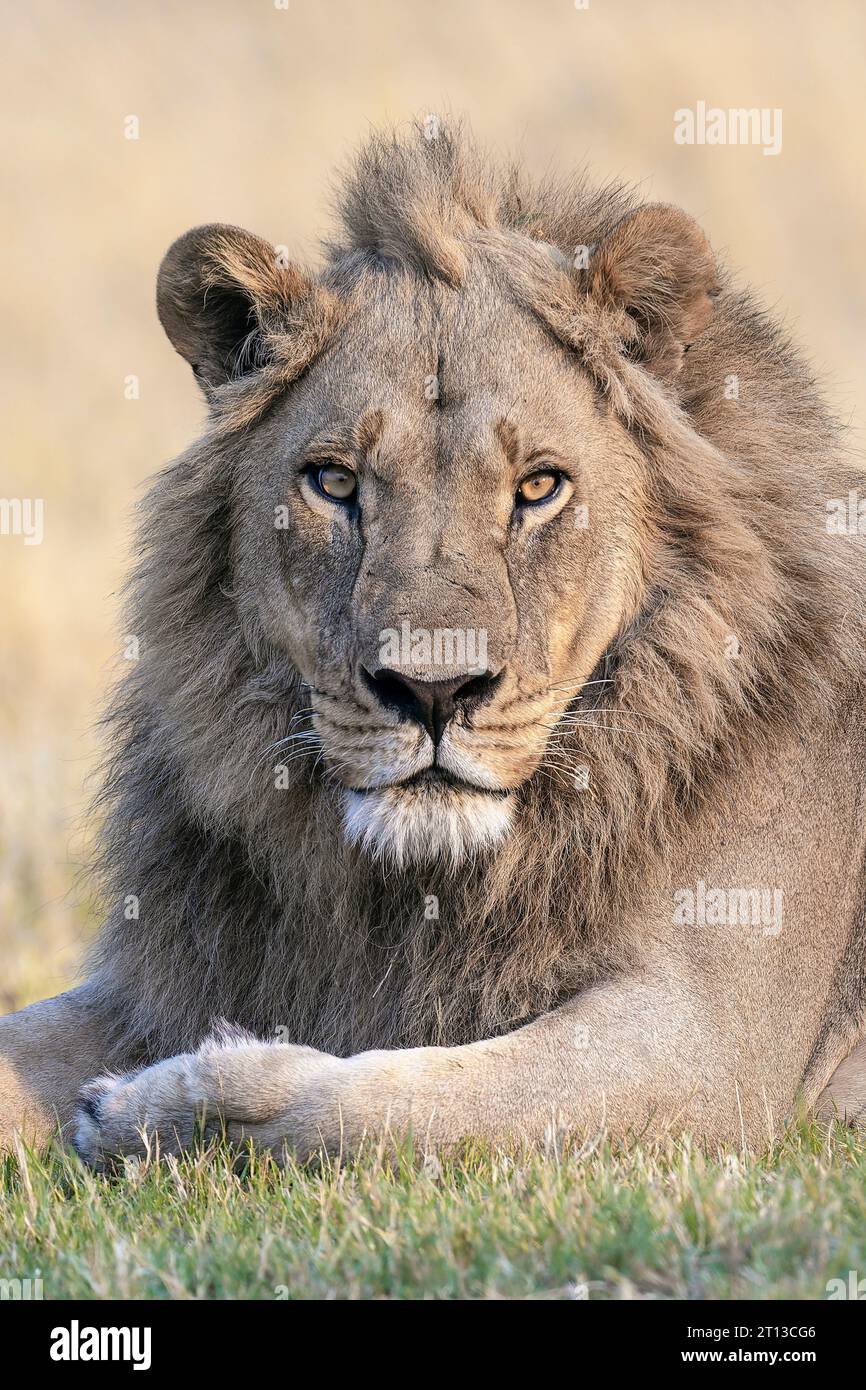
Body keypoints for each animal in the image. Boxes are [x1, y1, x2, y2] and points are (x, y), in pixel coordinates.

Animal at [2, 118, 866, 1166]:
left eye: (540, 487)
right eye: (334, 483)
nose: (432, 693)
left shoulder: (710, 1049)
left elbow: (391, 1106)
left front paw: (158, 1107)